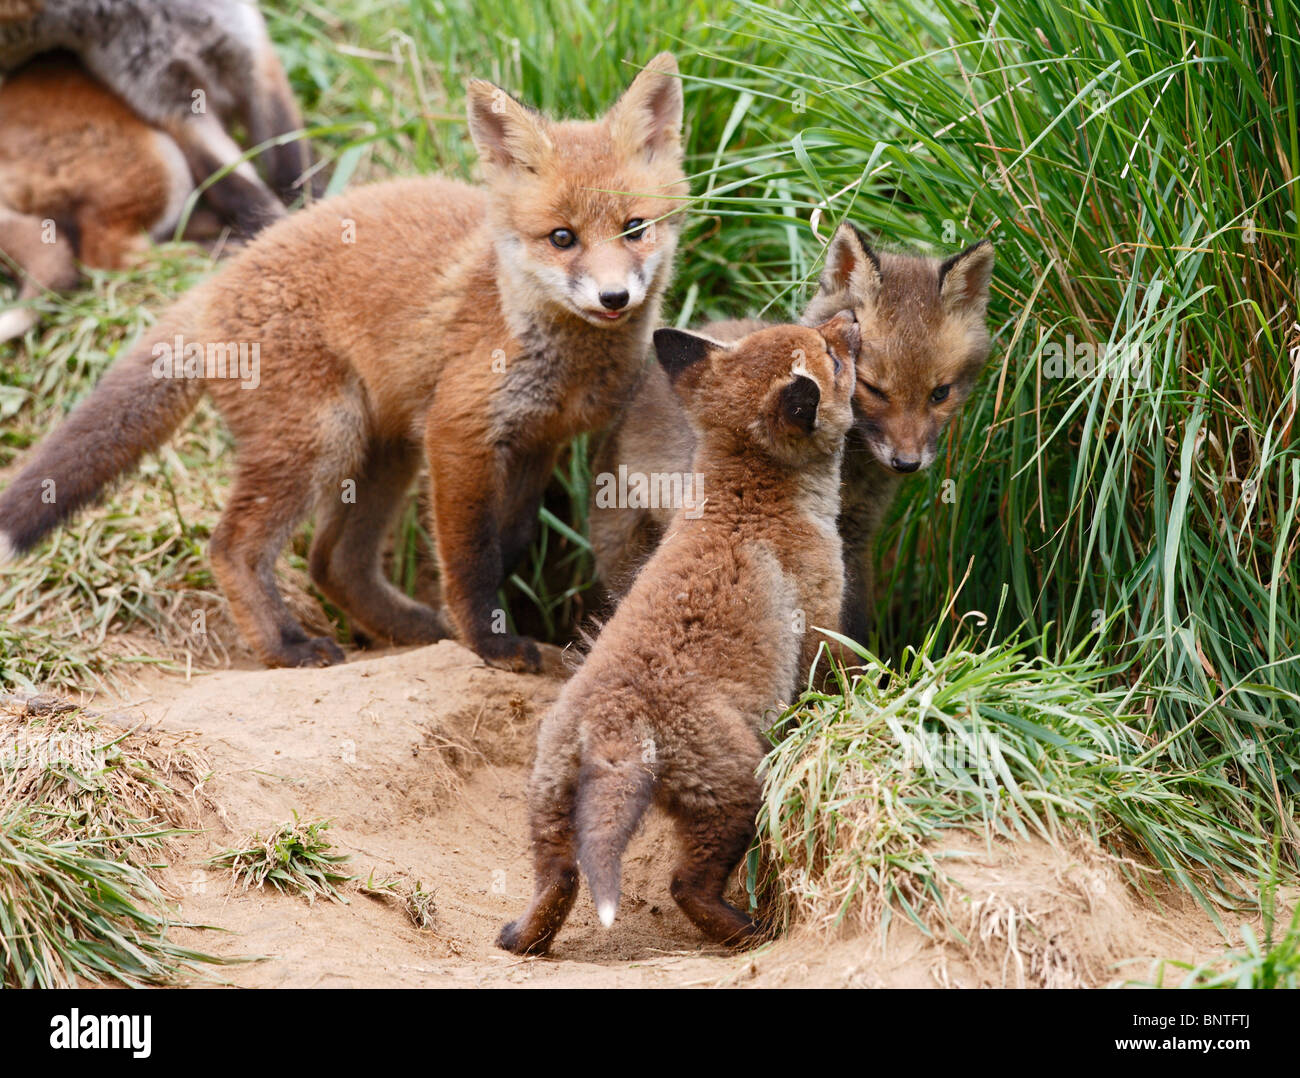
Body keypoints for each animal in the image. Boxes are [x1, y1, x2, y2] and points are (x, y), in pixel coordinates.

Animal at [497, 312, 860, 955]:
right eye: (834, 357)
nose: (849, 319)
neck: (747, 496)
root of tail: (614, 713)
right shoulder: (821, 617)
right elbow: (839, 676)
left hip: (546, 796)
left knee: (557, 880)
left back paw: (523, 938)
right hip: (737, 788)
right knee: (685, 885)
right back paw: (750, 932)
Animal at [590, 224, 994, 643]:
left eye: (940, 394)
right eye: (874, 389)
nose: (906, 463)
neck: (849, 479)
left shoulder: (855, 539)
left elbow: (854, 626)